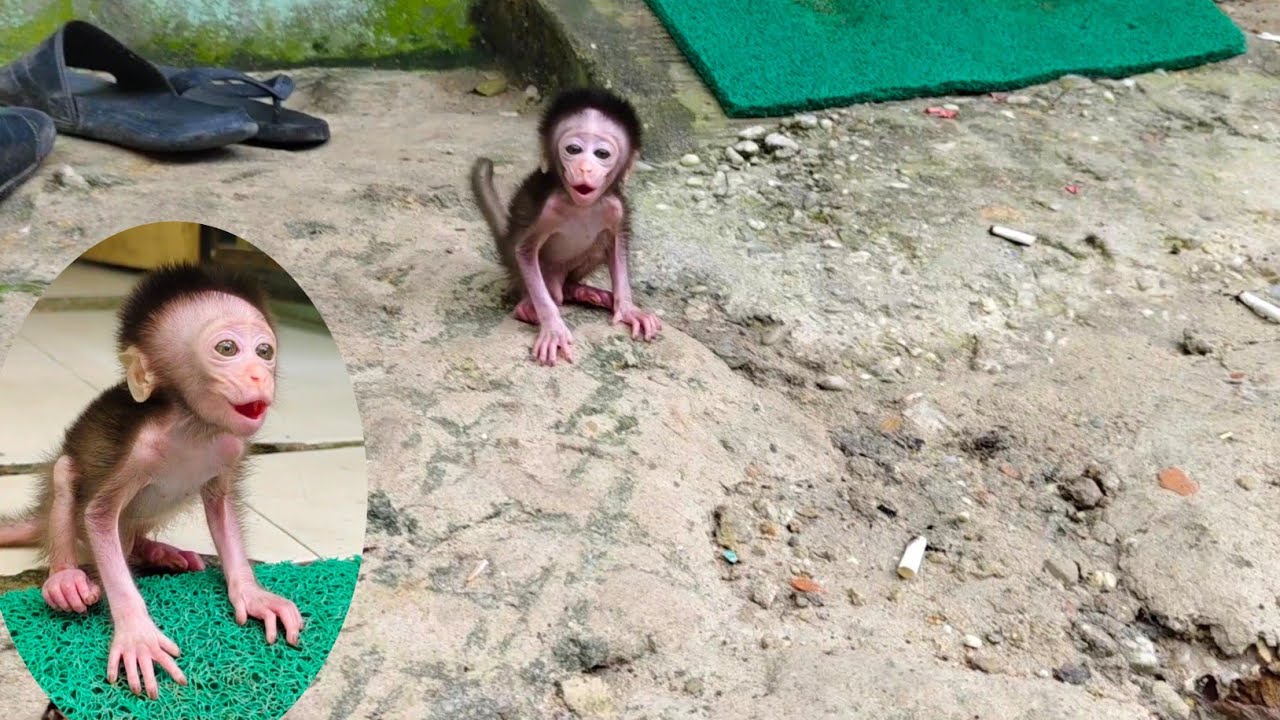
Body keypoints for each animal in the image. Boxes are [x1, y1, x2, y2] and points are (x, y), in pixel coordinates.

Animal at [0, 263, 304, 701]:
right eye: (227, 349)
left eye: (265, 351)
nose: (259, 376)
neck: (192, 427)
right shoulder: (139, 450)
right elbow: (99, 516)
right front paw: (136, 632)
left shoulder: (229, 447)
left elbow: (222, 510)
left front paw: (252, 593)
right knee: (65, 474)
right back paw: (64, 579)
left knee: (129, 534)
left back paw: (155, 550)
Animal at [471, 87, 662, 366]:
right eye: (573, 149)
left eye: (601, 154)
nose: (584, 168)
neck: (580, 205)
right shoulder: (549, 209)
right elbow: (525, 252)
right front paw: (552, 327)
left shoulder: (615, 209)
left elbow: (618, 248)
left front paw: (628, 308)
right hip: (530, 276)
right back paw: (528, 307)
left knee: (598, 247)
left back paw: (581, 291)